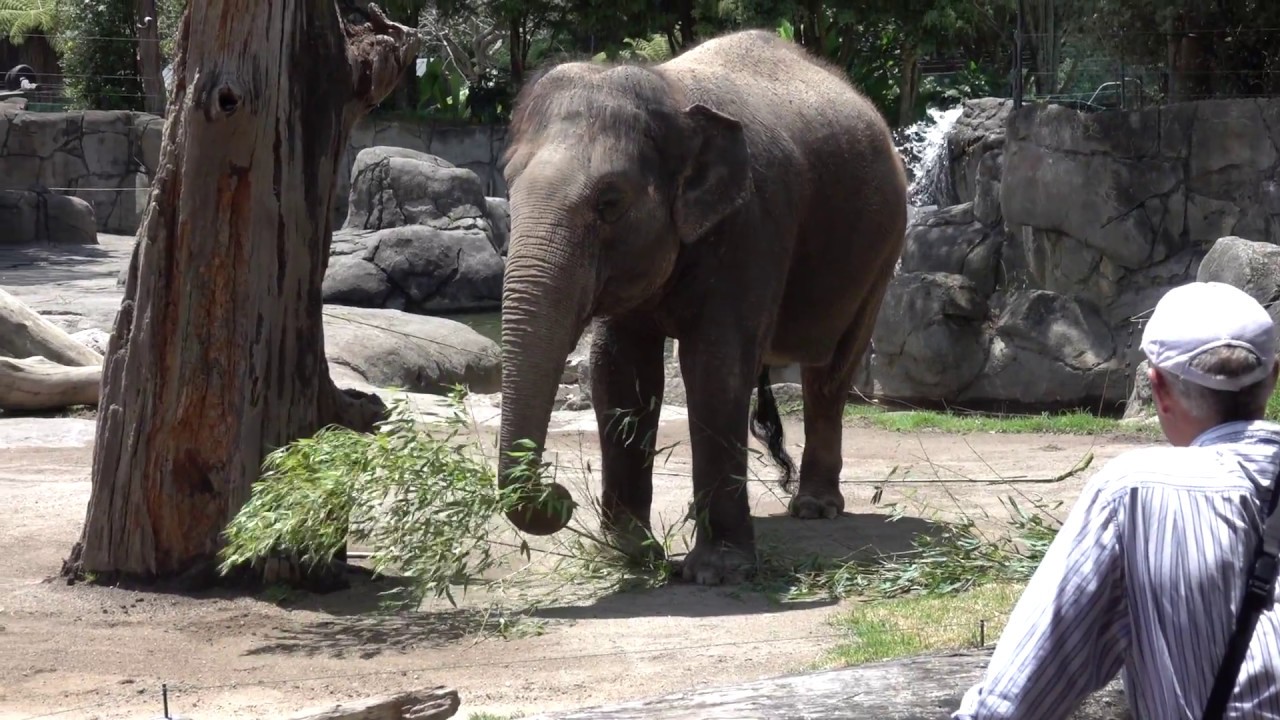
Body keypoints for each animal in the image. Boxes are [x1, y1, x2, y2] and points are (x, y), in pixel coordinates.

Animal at [495, 29, 908, 585]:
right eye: (508, 187)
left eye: (609, 203)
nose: (558, 495)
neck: (670, 95)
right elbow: (619, 370)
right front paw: (630, 552)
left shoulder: (752, 223)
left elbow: (715, 365)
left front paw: (717, 572)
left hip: (883, 248)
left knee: (831, 371)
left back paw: (815, 508)